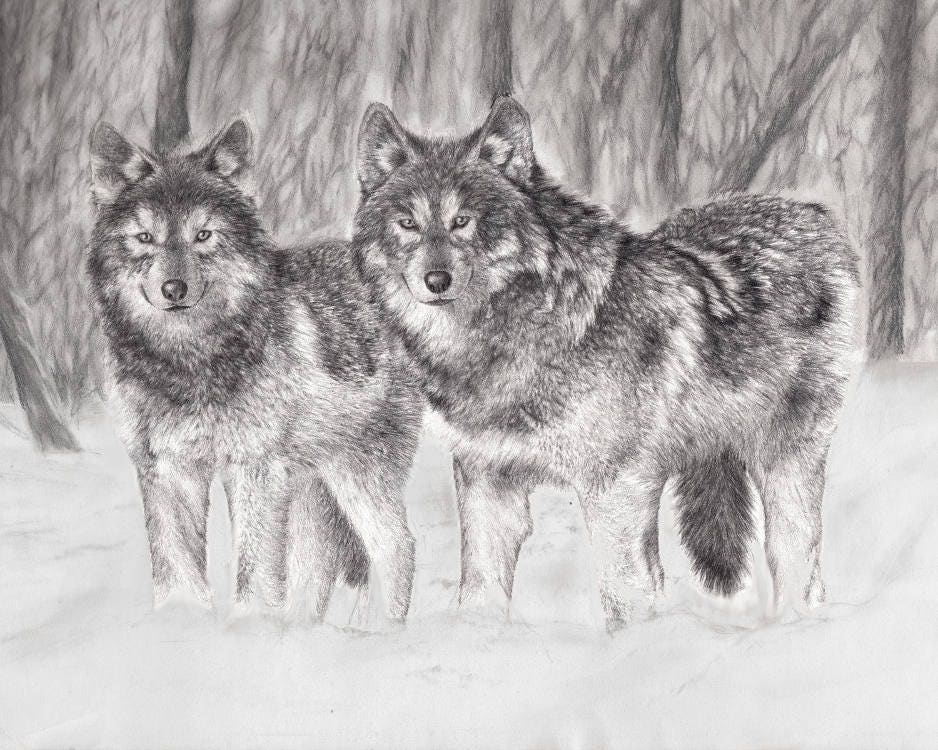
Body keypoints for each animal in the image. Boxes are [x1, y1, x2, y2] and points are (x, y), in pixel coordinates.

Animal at [88, 119, 422, 620]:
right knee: (317, 563)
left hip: (353, 475)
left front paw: (248, 627)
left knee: (397, 548)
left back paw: (388, 630)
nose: (174, 289)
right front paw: (181, 623)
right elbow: (177, 568)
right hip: (308, 487)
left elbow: (255, 571)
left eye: (203, 235)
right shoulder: (167, 470)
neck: (189, 364)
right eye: (145, 238)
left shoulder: (255, 470)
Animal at [352, 96, 859, 628]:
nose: (436, 280)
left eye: (463, 220)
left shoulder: (612, 486)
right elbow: (480, 589)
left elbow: (621, 592)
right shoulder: (488, 482)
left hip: (784, 464)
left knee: (797, 557)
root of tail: (809, 211)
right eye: (408, 223)